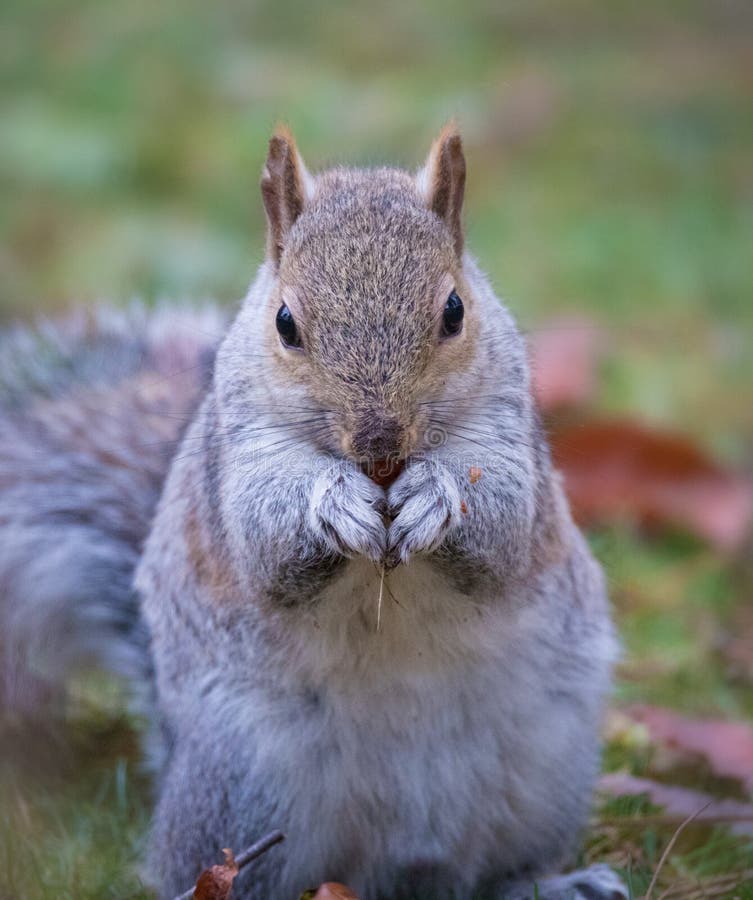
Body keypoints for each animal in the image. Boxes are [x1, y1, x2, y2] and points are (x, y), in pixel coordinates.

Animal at [0, 126, 626, 900]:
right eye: (286, 323)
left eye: (454, 311)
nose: (380, 448)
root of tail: (394, 868)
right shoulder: (236, 458)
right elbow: (265, 541)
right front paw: (333, 503)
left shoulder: (511, 438)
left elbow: (502, 524)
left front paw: (435, 494)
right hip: (243, 784)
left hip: (547, 766)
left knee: (492, 875)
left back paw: (555, 884)